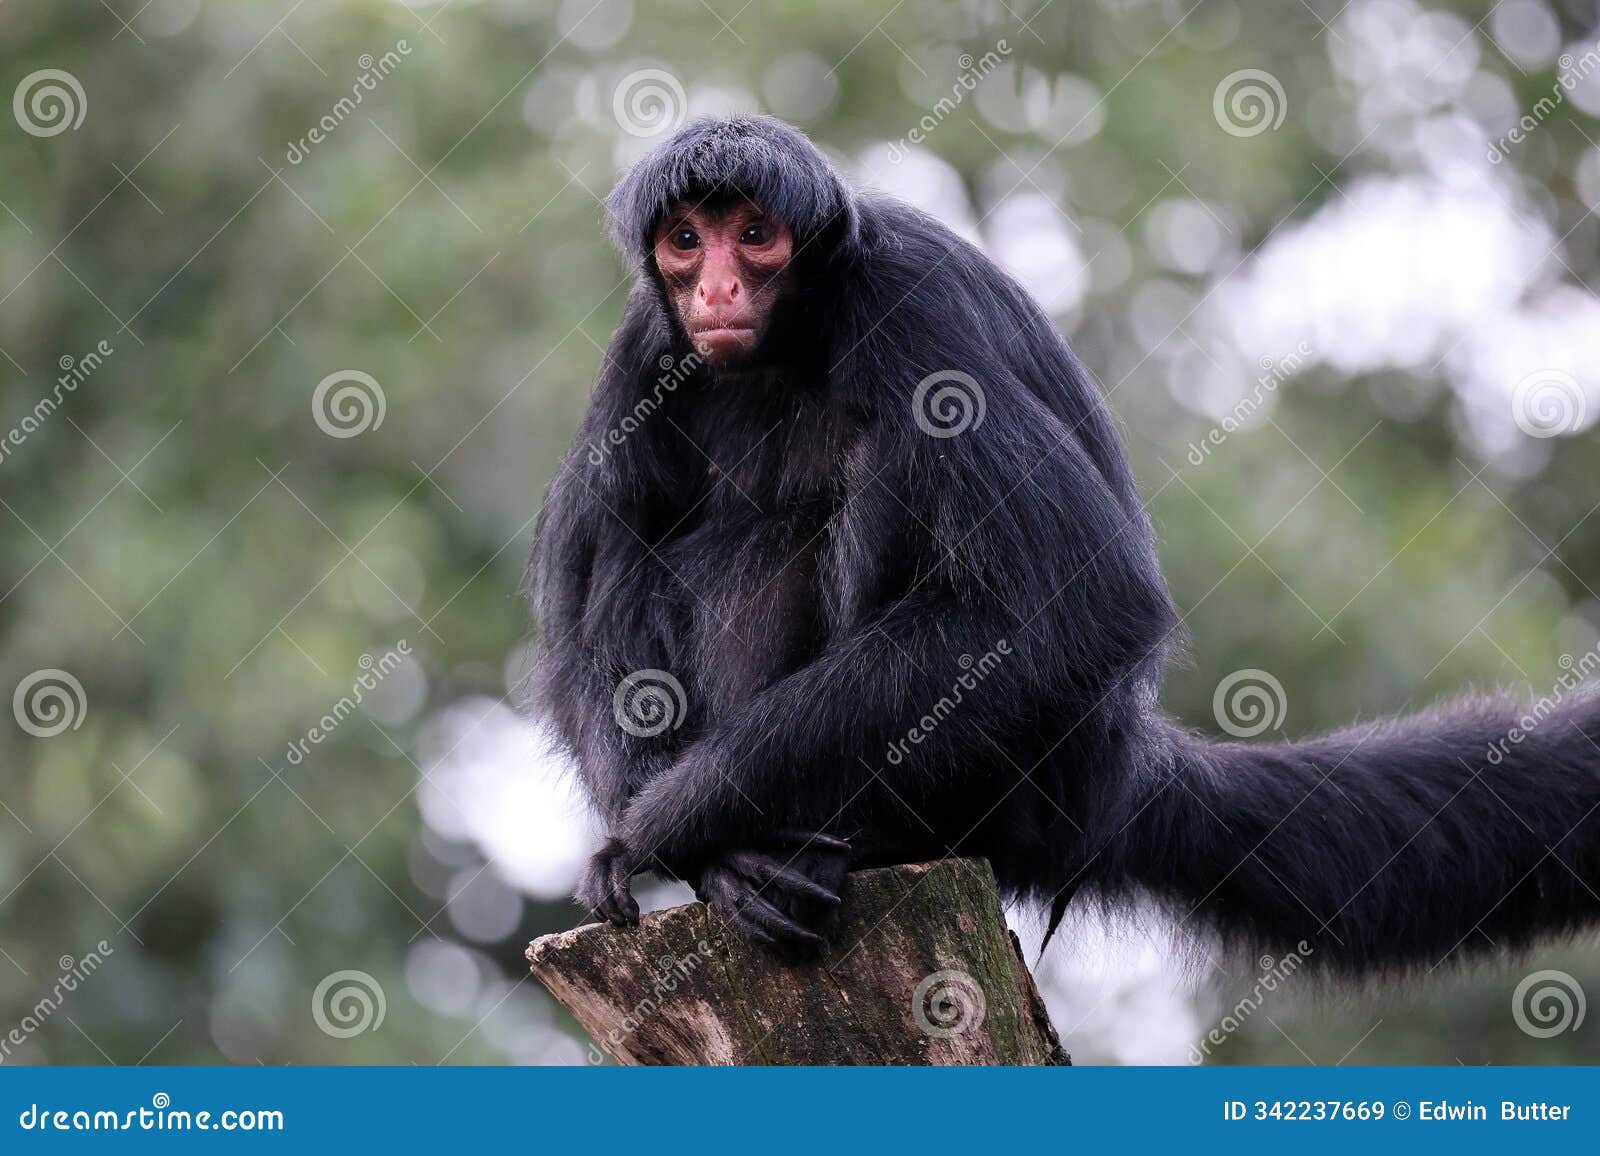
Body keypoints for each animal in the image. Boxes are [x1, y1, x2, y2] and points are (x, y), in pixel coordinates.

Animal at [527, 115, 1600, 973]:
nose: (713, 284)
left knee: (878, 465)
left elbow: (1082, 602)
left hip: (1021, 791)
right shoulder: (644, 341)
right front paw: (692, 848)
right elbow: (579, 595)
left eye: (754, 235)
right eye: (685, 240)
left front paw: (657, 831)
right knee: (639, 538)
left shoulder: (908, 302)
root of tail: (1116, 775)